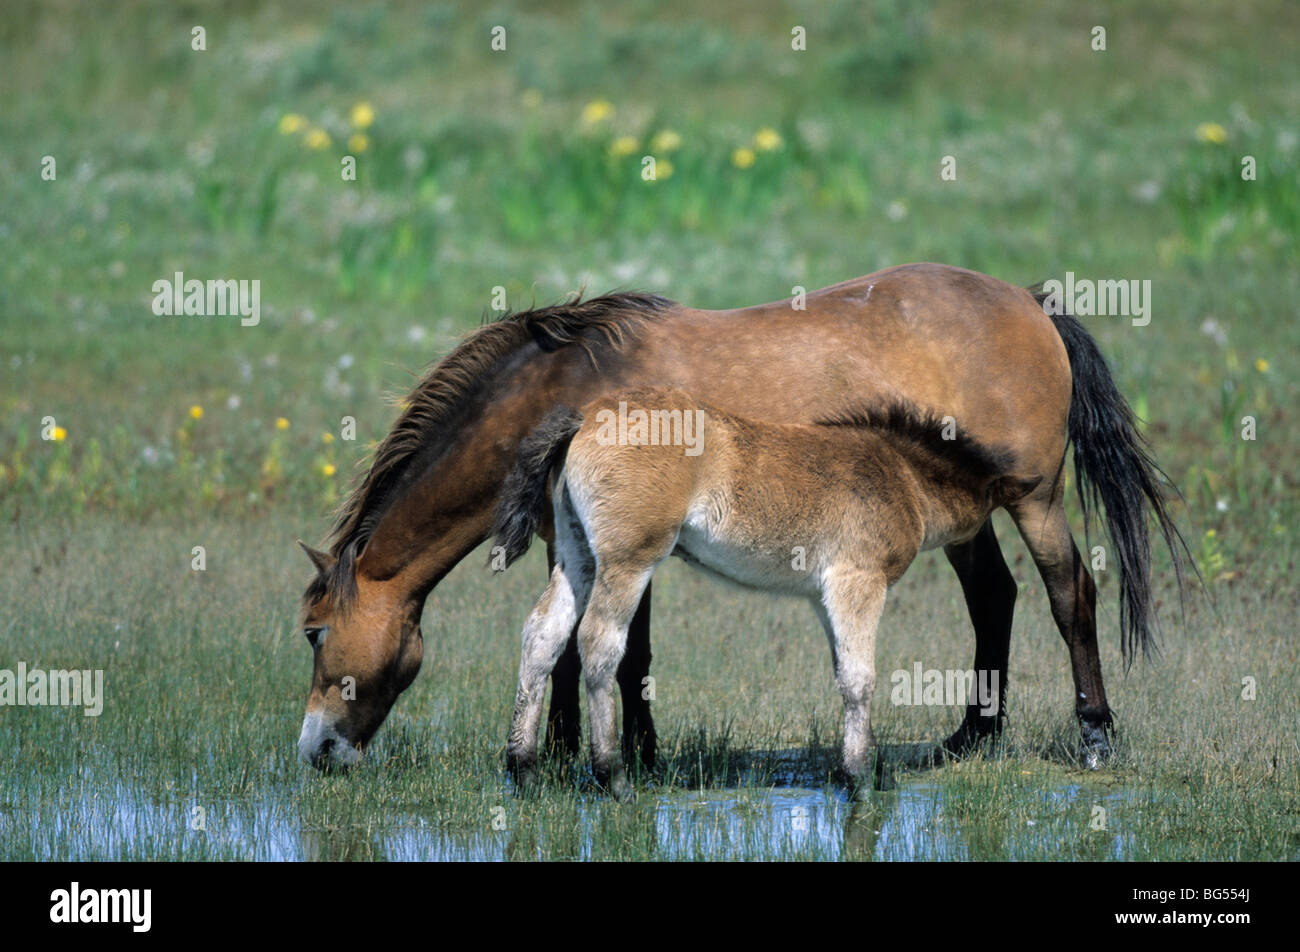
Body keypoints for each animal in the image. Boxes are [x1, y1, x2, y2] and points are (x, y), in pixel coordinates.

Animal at [493, 389, 1053, 799]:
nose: (983, 564)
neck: (902, 474)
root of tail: (587, 417)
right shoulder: (858, 581)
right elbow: (861, 679)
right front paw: (860, 781)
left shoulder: (824, 596)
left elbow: (842, 673)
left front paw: (862, 768)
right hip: (629, 560)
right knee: (598, 644)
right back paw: (614, 777)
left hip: (578, 556)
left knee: (542, 634)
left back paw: (522, 770)